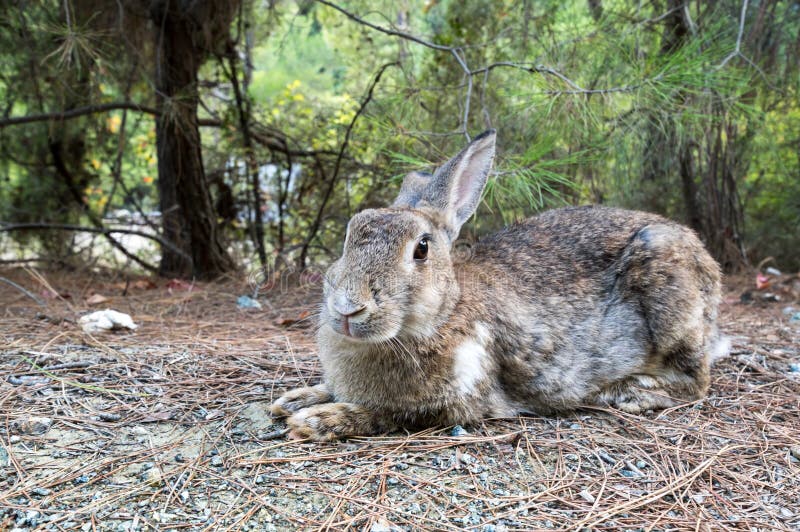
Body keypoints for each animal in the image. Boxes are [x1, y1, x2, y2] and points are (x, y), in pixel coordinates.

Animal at [270, 129, 727, 441]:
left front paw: (318, 420)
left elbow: (391, 415)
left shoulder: (458, 402)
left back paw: (626, 392)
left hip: (669, 300)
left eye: (421, 249)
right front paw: (295, 400)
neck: (444, 313)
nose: (348, 308)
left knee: (695, 381)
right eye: (351, 233)